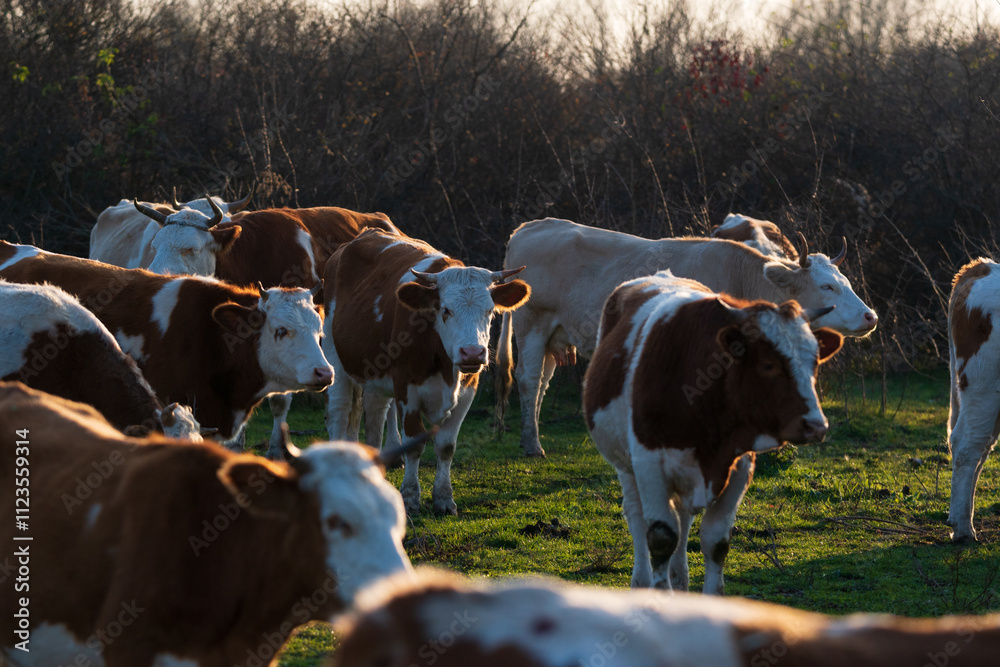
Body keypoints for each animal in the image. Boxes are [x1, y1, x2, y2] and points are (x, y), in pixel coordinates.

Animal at [323, 229, 530, 515]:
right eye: (445, 310)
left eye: (490, 311)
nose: (473, 353)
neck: (444, 367)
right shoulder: (406, 388)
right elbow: (415, 444)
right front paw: (410, 497)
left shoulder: (467, 391)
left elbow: (446, 446)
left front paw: (444, 498)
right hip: (336, 360)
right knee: (340, 413)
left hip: (376, 379)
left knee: (374, 420)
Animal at [495, 218, 876, 456]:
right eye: (827, 286)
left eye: (846, 282)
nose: (870, 316)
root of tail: (530, 227)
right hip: (532, 324)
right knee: (528, 380)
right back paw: (533, 445)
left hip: (552, 336)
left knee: (541, 384)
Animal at [583, 271, 842, 592]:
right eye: (768, 365)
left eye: (814, 363)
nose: (816, 426)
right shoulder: (649, 466)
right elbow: (661, 537)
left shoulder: (738, 467)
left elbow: (715, 542)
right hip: (624, 465)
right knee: (636, 515)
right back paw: (641, 581)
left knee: (682, 520)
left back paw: (681, 582)